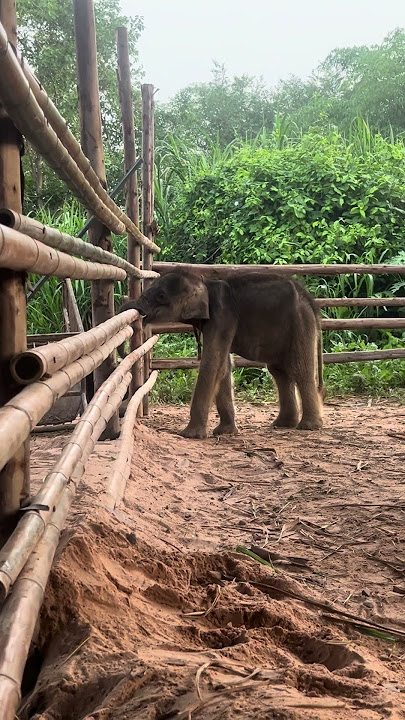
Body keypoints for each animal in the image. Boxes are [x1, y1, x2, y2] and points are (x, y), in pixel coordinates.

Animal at [119, 270, 325, 438]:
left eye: (161, 296)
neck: (204, 282)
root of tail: (309, 299)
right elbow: (224, 367)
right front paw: (225, 432)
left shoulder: (222, 316)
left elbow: (213, 363)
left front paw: (190, 435)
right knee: (279, 371)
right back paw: (283, 424)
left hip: (300, 322)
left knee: (299, 369)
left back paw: (309, 426)